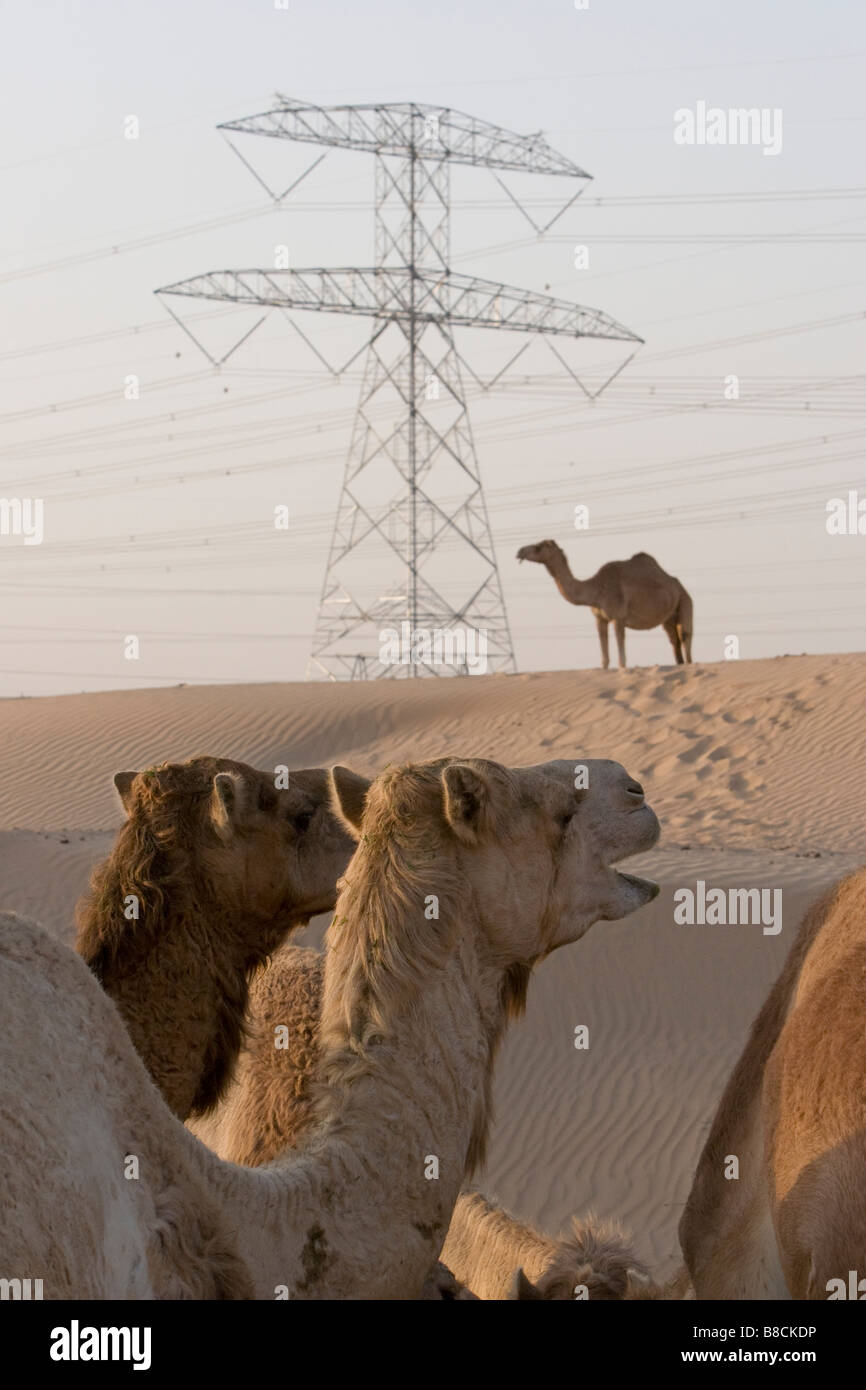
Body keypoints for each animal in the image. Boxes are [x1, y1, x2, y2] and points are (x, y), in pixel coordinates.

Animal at [516, 539, 693, 669]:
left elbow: (622, 661)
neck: (596, 589)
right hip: (668, 617)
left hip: (685, 602)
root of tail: (678, 585)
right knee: (674, 641)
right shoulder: (600, 619)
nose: (519, 551)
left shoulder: (618, 618)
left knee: (685, 636)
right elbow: (605, 660)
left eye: (538, 547)